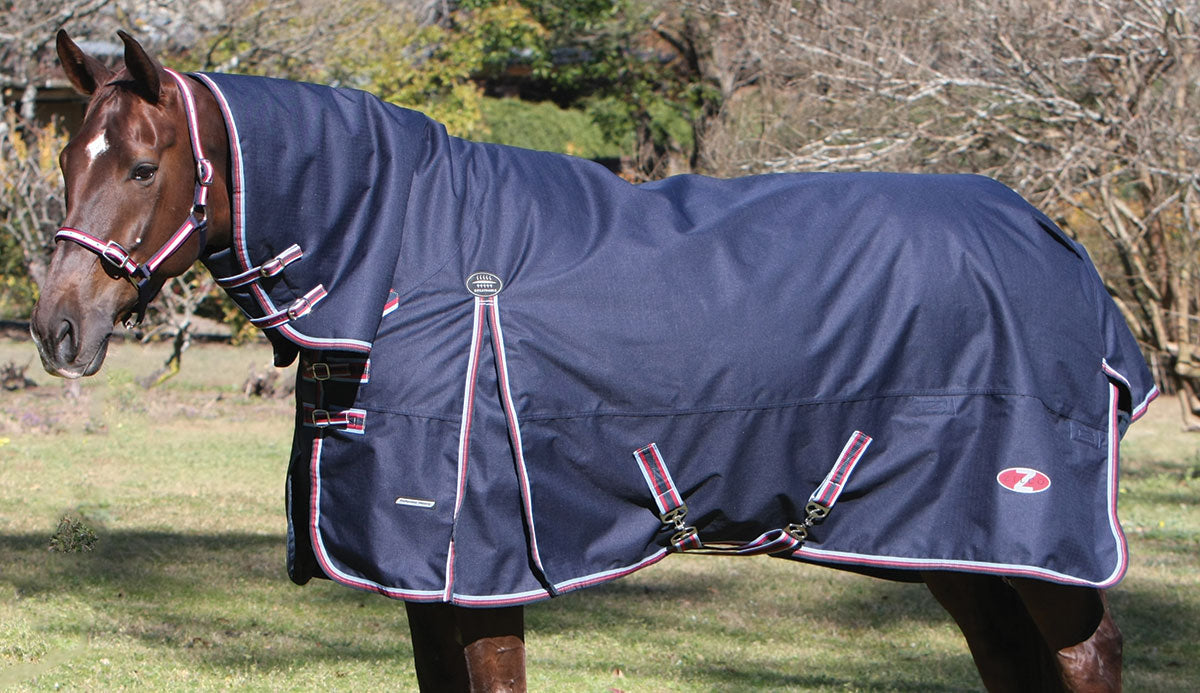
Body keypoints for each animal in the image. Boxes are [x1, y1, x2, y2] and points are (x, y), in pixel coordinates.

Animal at [30, 30, 1156, 692]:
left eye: (143, 167)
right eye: (65, 156)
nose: (56, 326)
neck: (402, 255)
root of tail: (1056, 240)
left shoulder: (479, 580)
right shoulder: (429, 593)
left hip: (1029, 531)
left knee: (1084, 654)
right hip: (953, 542)